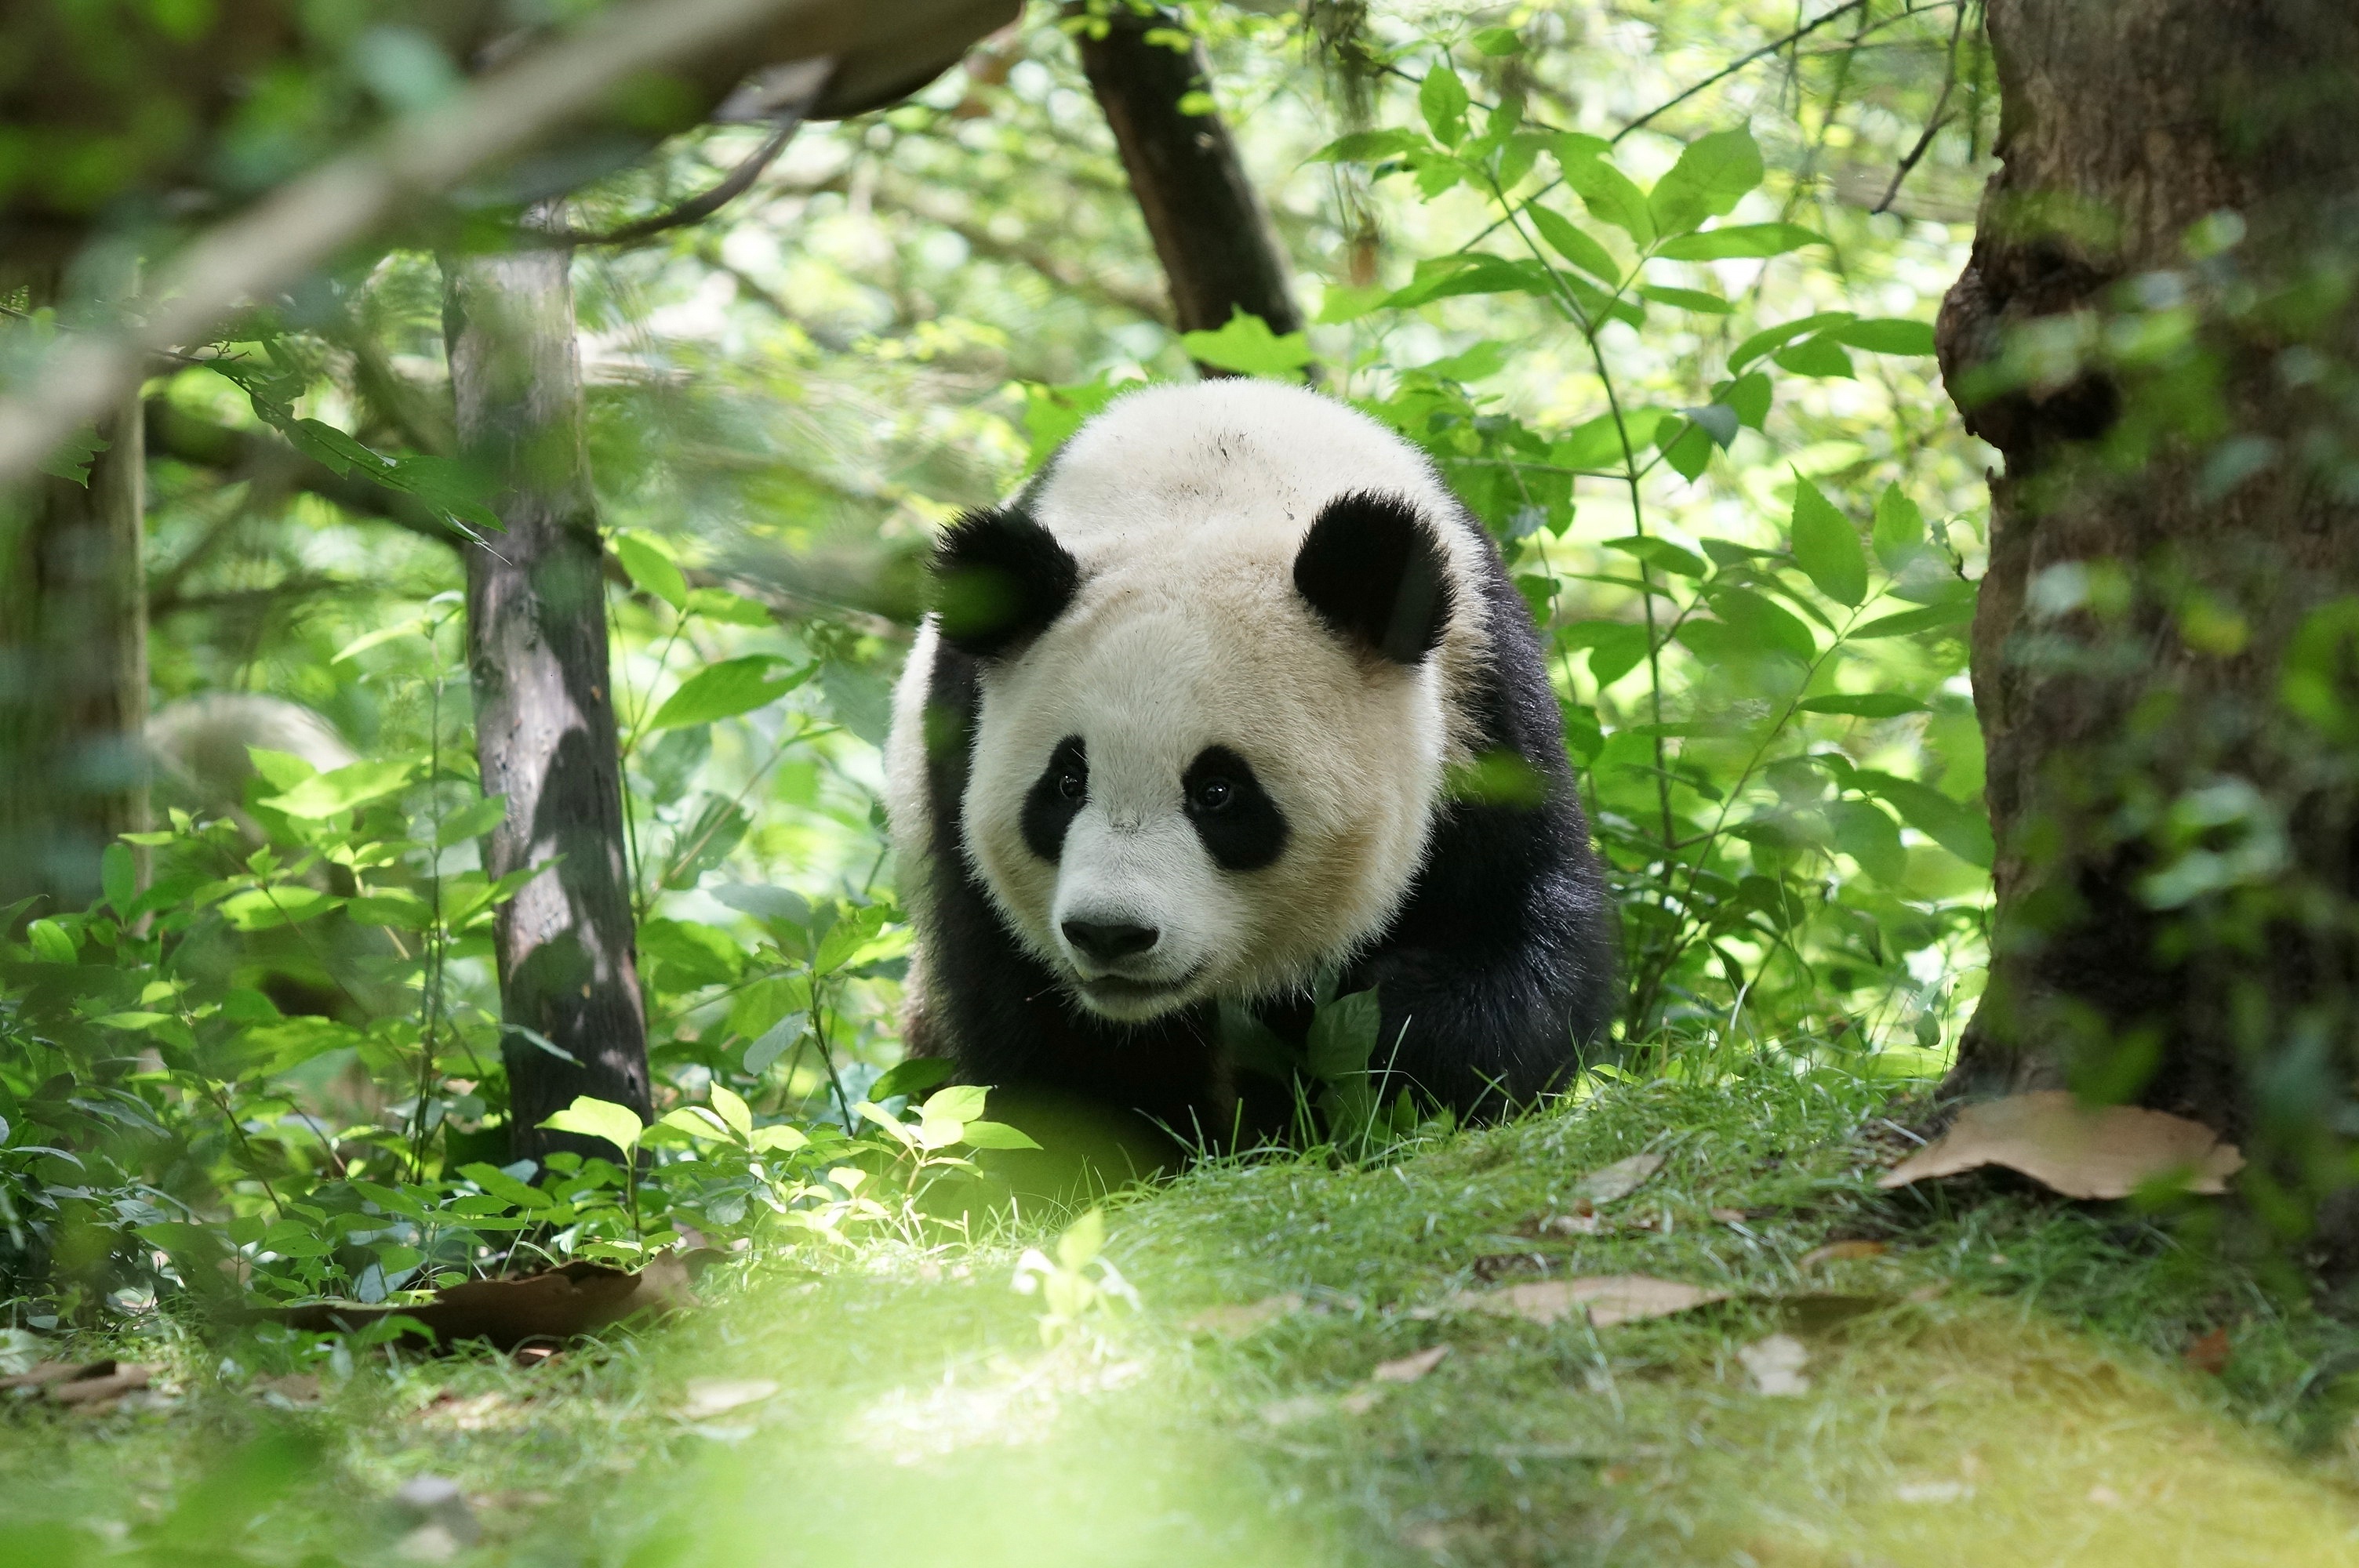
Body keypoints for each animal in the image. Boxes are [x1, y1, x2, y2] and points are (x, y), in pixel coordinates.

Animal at [884, 379, 1615, 1146]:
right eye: (1065, 784)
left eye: (1218, 792)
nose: (1110, 934)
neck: (1218, 481)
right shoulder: (958, 751)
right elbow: (1043, 1030)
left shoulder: (1482, 703)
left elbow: (1509, 938)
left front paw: (1379, 1048)